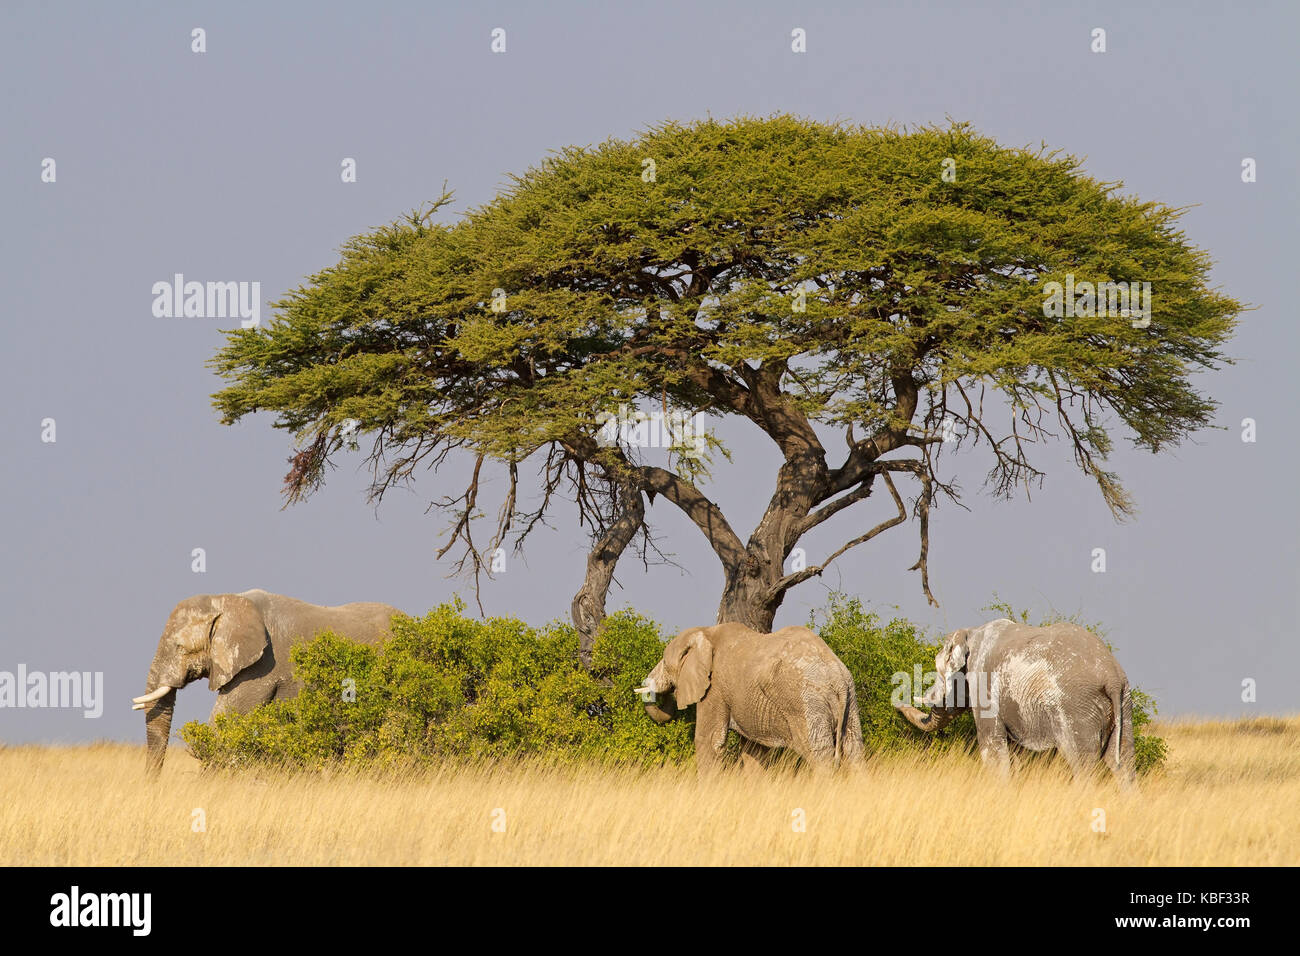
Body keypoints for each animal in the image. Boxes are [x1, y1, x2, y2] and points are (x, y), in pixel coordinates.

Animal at [634, 623, 864, 774]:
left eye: (665, 662)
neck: (707, 632)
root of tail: (836, 678)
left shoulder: (715, 688)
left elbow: (709, 741)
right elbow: (754, 751)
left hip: (805, 702)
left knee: (820, 756)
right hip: (850, 700)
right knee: (854, 751)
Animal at [895, 618, 1135, 785]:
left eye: (938, 669)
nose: (897, 705)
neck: (971, 633)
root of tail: (1112, 677)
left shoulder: (985, 686)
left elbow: (992, 748)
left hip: (1076, 707)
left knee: (1083, 765)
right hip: (1123, 703)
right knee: (1123, 763)